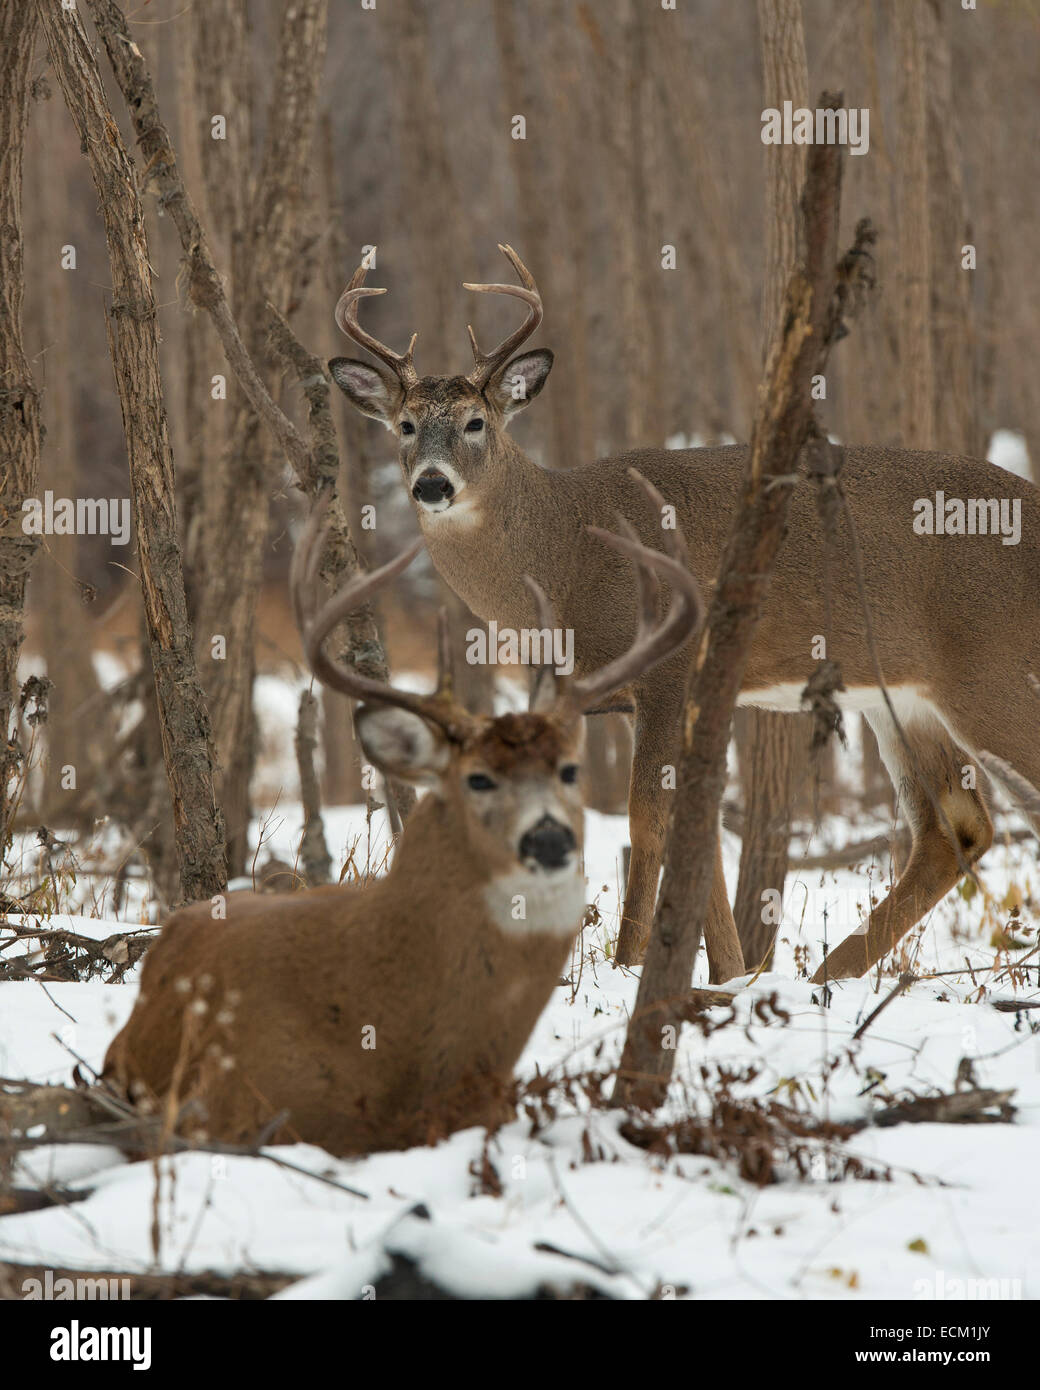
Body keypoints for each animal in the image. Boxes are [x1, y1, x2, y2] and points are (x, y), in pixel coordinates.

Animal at [327, 244, 1040, 986]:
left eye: (476, 422)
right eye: (406, 425)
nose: (432, 483)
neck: (566, 552)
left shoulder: (669, 671)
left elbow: (648, 820)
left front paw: (629, 965)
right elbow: (697, 838)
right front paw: (730, 979)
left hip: (993, 671)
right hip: (899, 695)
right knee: (957, 827)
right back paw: (830, 974)